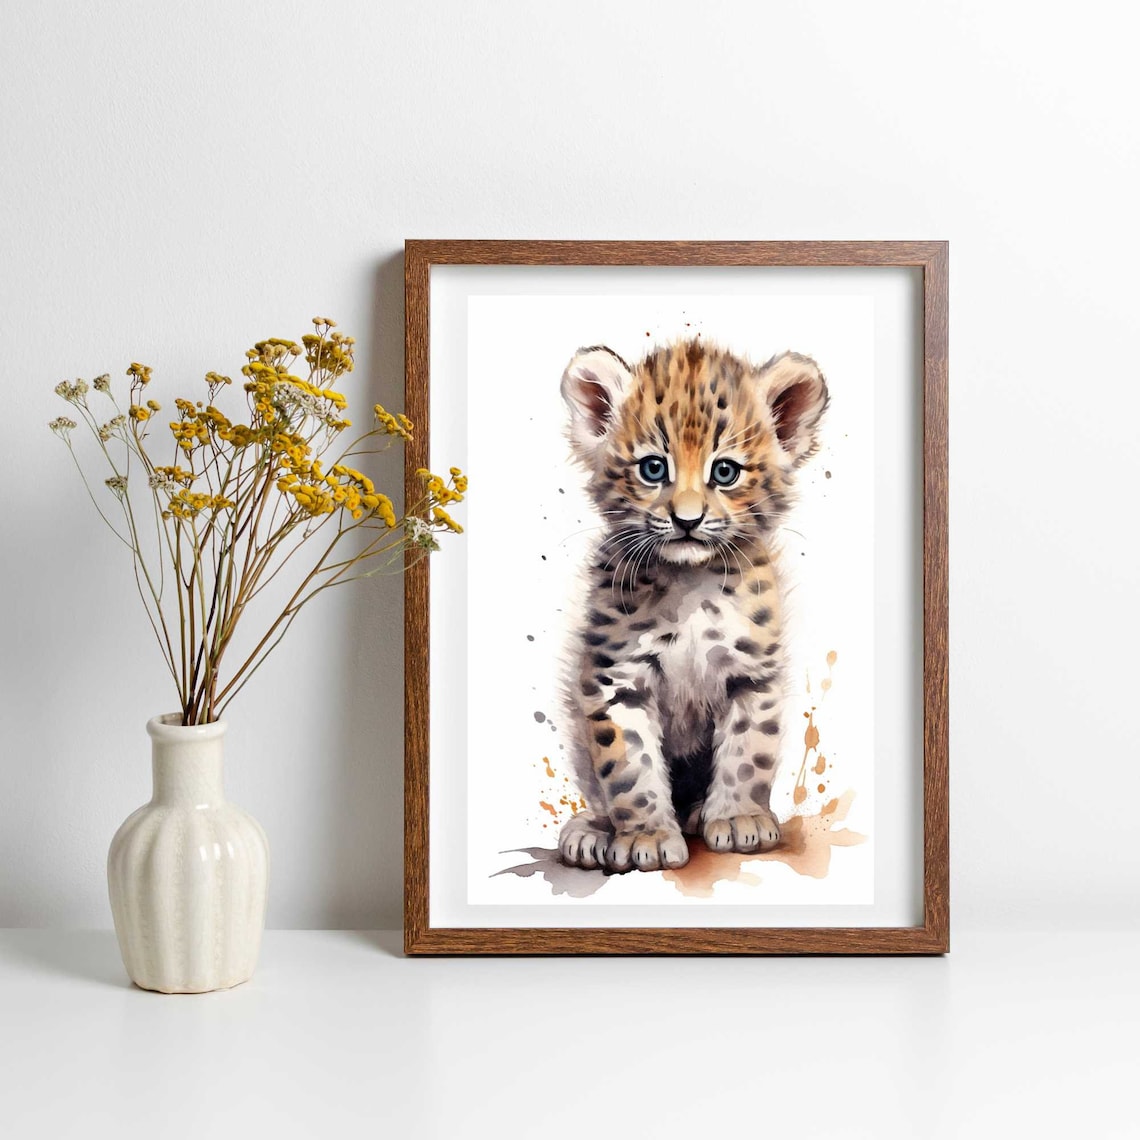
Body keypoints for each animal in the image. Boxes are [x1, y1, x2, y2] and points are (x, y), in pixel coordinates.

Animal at [556, 337, 828, 873]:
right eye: (653, 468)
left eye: (724, 472)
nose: (687, 520)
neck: (690, 585)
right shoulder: (615, 678)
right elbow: (628, 766)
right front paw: (644, 836)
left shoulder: (751, 672)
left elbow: (748, 751)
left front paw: (740, 818)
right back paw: (591, 832)